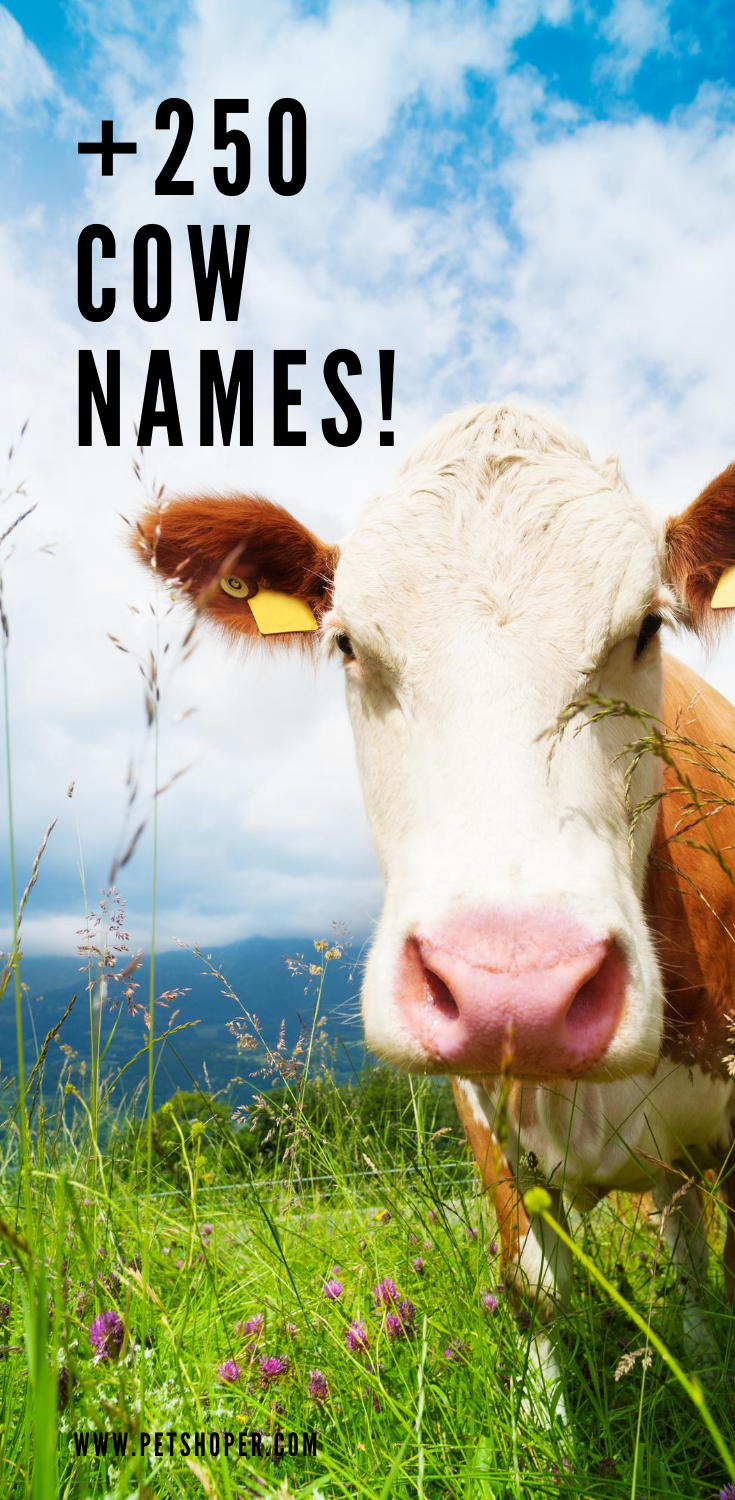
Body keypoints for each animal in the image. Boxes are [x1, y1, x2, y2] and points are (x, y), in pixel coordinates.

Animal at [133, 403, 735, 1413]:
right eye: (346, 643)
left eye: (647, 627)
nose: (516, 993)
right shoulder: (486, 1116)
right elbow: (531, 1286)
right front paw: (540, 1420)